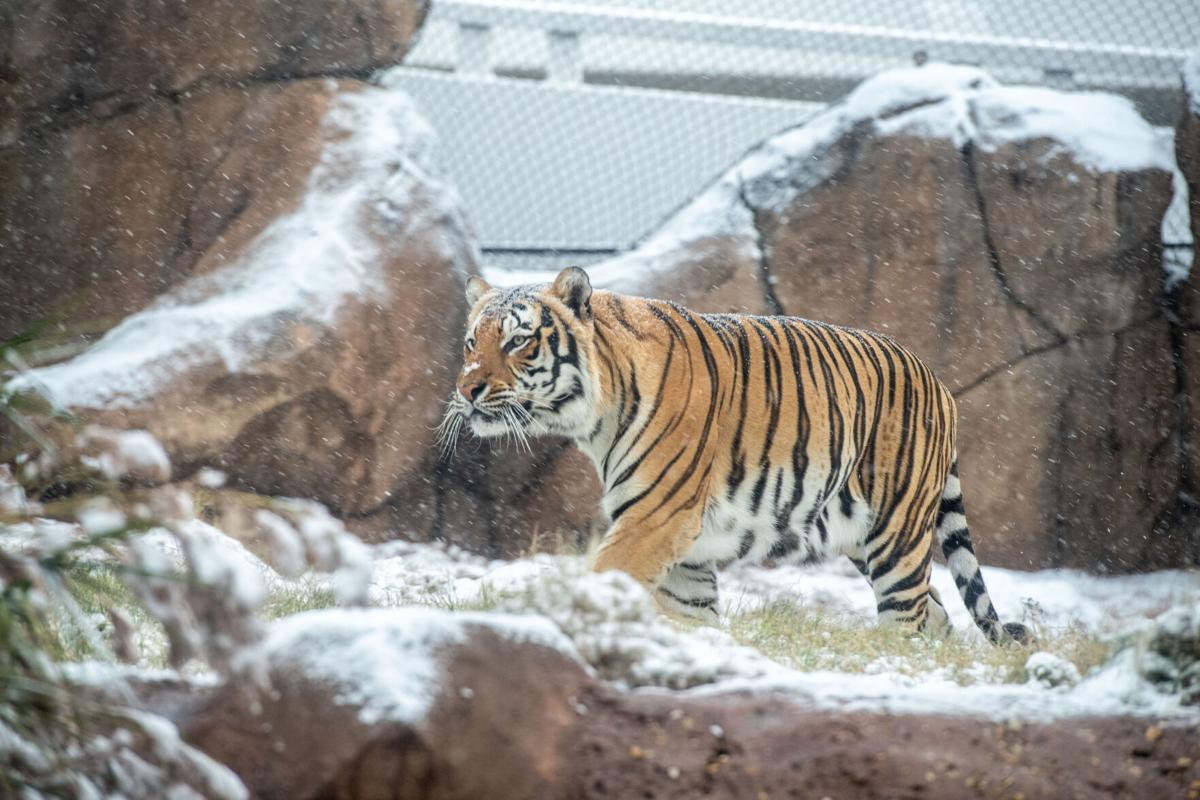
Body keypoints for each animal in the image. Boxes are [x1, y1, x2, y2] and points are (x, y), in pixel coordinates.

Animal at [439, 266, 1030, 645]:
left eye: (517, 341)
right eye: (471, 342)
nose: (467, 390)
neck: (593, 419)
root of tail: (940, 384)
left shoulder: (654, 518)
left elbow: (602, 578)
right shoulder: (684, 554)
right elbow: (689, 616)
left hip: (897, 534)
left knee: (907, 617)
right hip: (860, 536)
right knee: (936, 615)